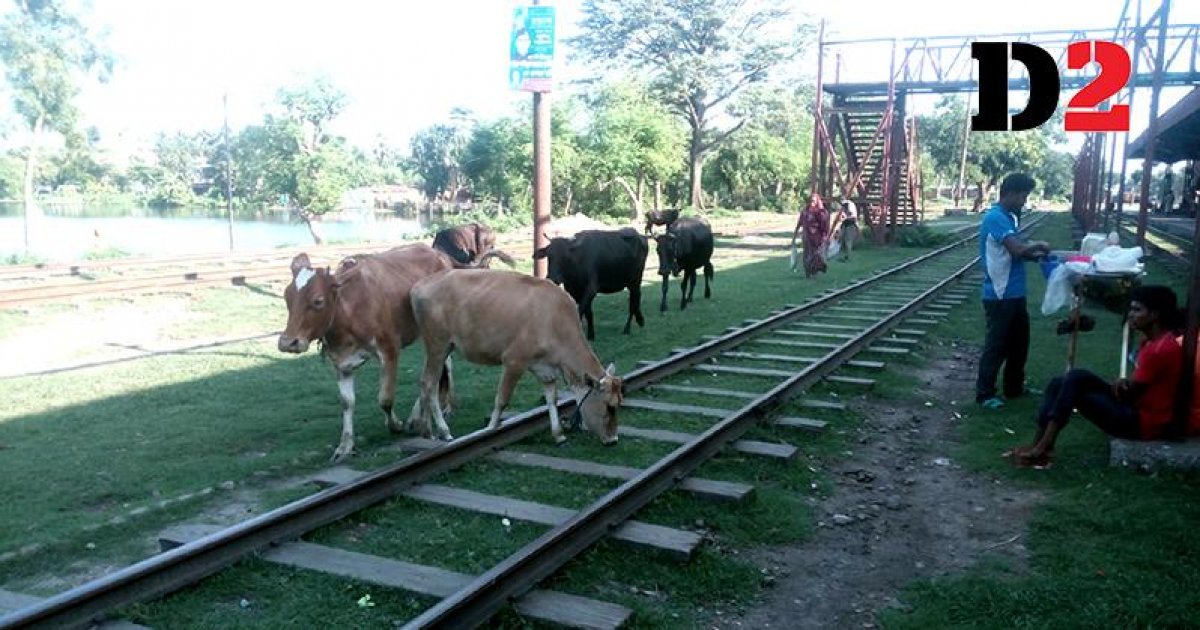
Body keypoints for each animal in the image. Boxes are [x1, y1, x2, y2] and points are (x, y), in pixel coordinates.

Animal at [277, 245, 455, 462]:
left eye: (318, 300)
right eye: (287, 296)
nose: (287, 343)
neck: (348, 311)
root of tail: (439, 254)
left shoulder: (389, 349)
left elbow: (385, 398)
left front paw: (395, 425)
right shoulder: (341, 362)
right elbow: (347, 402)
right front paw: (345, 445)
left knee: (436, 372)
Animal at [410, 269, 623, 444]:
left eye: (619, 403)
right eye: (609, 406)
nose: (613, 440)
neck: (554, 319)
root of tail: (421, 284)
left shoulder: (546, 368)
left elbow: (552, 399)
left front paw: (558, 434)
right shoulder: (514, 361)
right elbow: (502, 399)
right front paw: (489, 429)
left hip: (443, 348)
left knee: (426, 382)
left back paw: (426, 430)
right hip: (437, 345)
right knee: (429, 383)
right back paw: (443, 431)